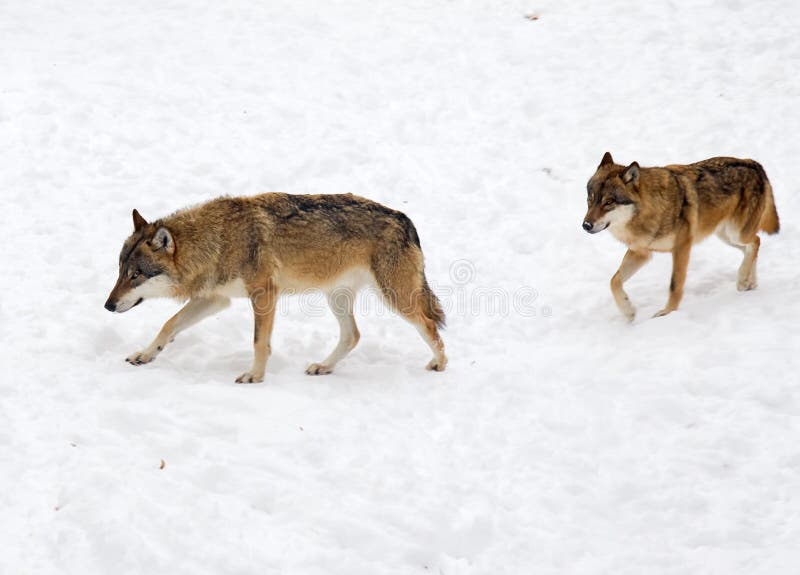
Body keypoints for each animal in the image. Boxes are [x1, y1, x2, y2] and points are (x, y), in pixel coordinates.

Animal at [104, 193, 447, 382]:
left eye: (136, 275)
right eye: (121, 271)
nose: (107, 306)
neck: (218, 240)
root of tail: (405, 219)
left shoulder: (263, 294)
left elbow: (259, 342)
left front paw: (254, 376)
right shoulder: (216, 299)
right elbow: (168, 325)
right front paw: (145, 355)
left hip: (395, 298)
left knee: (430, 326)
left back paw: (440, 365)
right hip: (337, 298)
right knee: (353, 335)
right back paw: (324, 367)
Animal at [583, 152, 780, 320]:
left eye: (608, 202)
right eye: (590, 199)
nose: (586, 225)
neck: (652, 208)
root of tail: (754, 163)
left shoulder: (682, 247)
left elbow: (674, 284)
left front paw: (667, 313)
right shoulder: (641, 252)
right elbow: (614, 281)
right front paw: (628, 312)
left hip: (736, 234)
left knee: (756, 241)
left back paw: (742, 279)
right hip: (726, 237)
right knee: (751, 247)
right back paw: (749, 282)